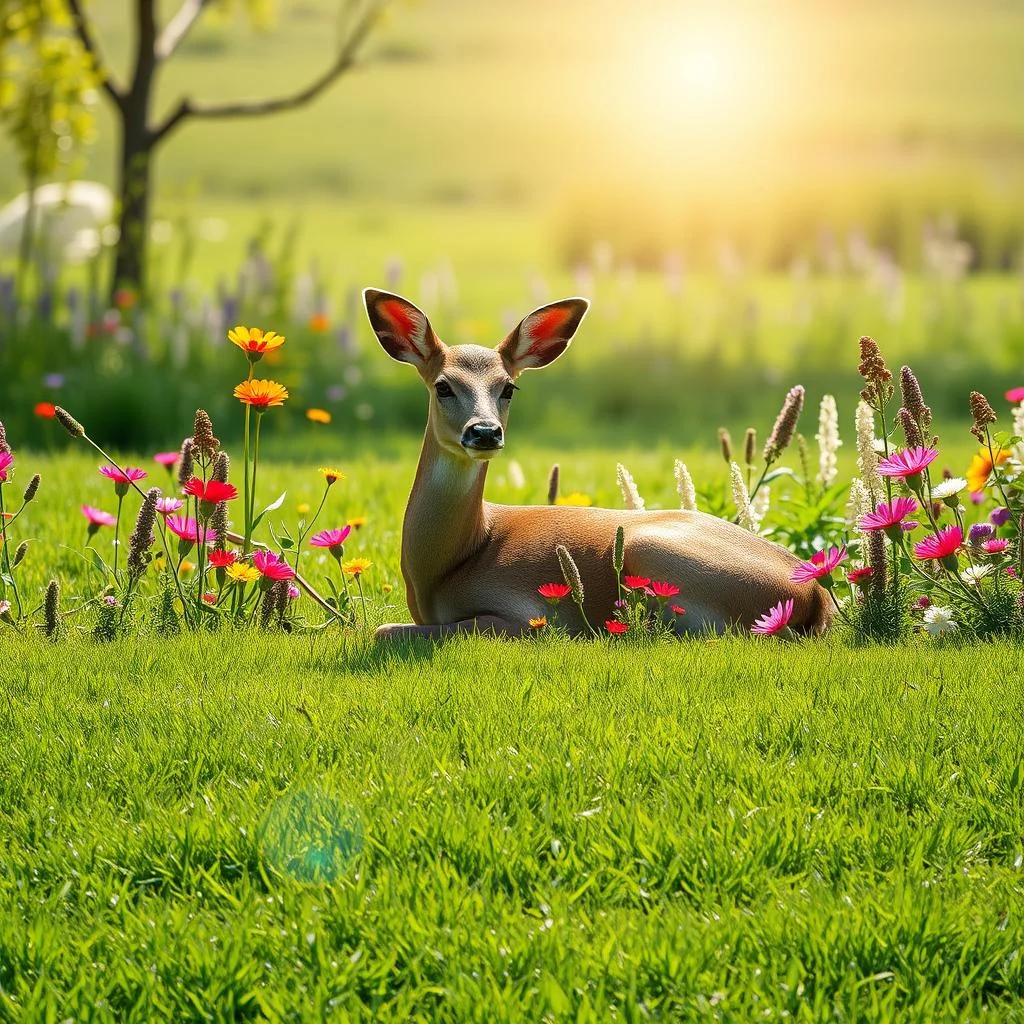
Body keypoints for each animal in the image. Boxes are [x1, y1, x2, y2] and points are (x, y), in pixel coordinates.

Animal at [363, 288, 834, 641]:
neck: (454, 557)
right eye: (442, 386)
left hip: (655, 552)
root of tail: (817, 597)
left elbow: (384, 629)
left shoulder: (527, 615)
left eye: (509, 387)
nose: (484, 432)